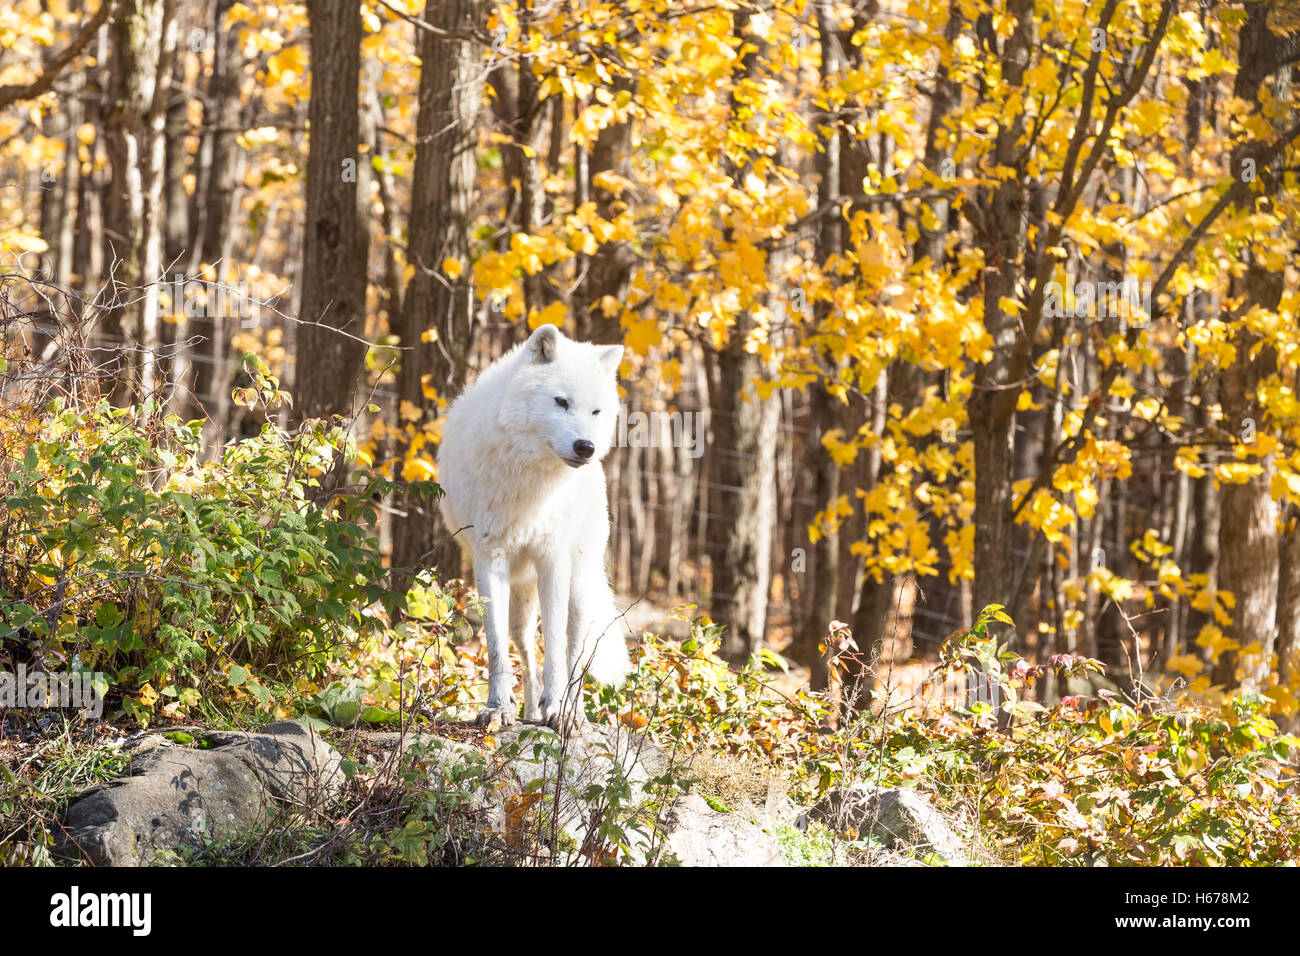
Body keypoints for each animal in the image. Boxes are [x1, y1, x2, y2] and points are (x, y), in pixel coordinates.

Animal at [436, 323, 633, 729]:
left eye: (596, 411)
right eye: (561, 402)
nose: (586, 447)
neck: (528, 479)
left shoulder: (552, 560)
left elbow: (555, 647)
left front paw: (557, 709)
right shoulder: (488, 558)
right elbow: (496, 645)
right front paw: (497, 708)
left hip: (578, 584)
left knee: (574, 650)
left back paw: (571, 711)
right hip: (521, 595)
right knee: (525, 648)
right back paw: (528, 710)